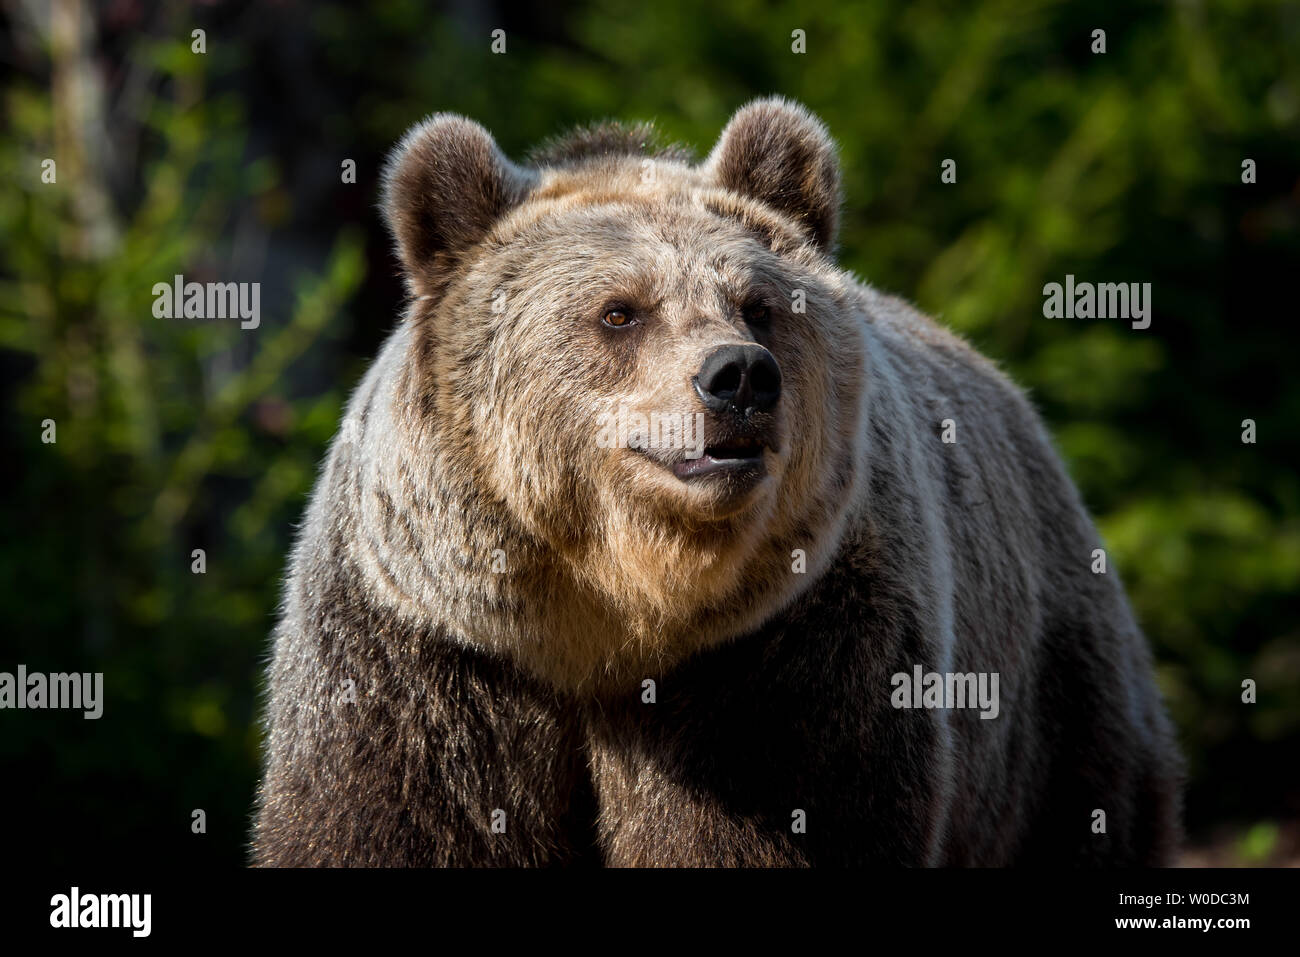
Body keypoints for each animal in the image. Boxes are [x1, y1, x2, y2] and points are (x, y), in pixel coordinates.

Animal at [252, 97, 1183, 866]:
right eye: (620, 311)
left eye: (759, 306)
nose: (739, 376)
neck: (609, 610)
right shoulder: (429, 648)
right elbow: (392, 819)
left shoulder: (783, 654)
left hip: (1053, 705)